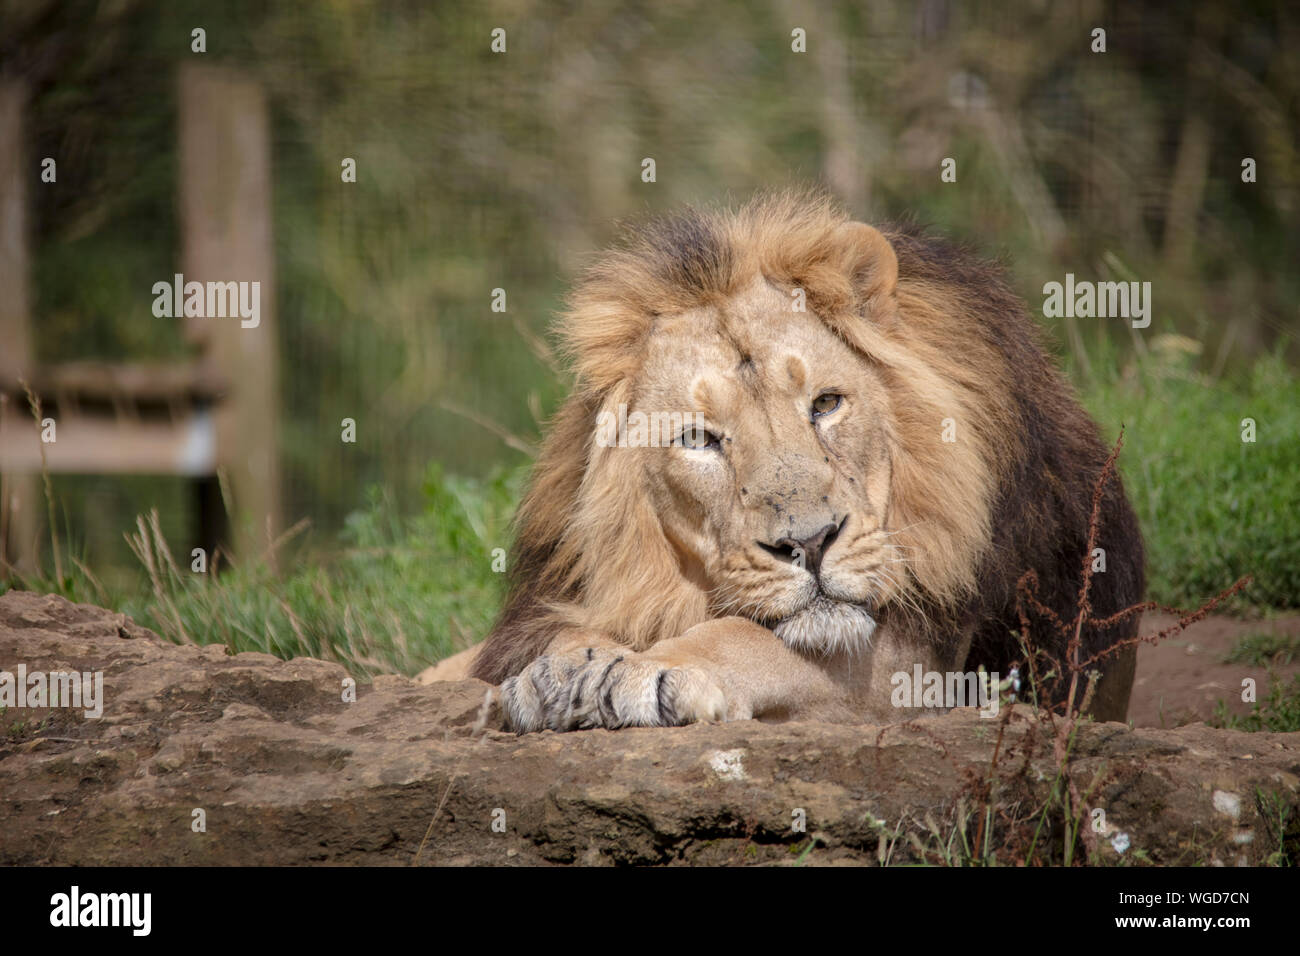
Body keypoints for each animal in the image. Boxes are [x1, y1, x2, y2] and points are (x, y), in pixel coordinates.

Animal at [450, 189, 1144, 733]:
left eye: (827, 404)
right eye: (699, 439)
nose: (810, 544)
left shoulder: (924, 658)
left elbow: (753, 638)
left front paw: (648, 668)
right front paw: (558, 669)